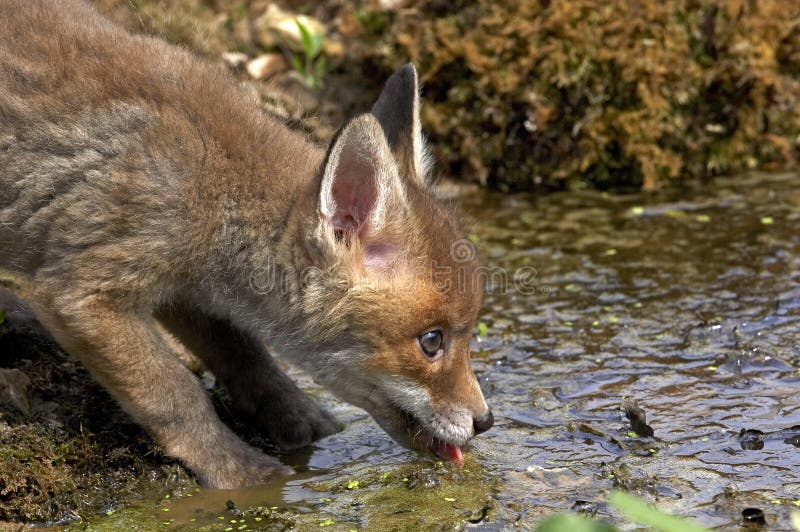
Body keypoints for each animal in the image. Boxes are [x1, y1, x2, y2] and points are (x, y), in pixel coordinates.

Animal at [0, 0, 493, 489]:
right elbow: (174, 393)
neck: (214, 187)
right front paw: (236, 469)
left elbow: (248, 359)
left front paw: (302, 421)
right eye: (431, 341)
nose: (486, 421)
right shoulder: (84, 293)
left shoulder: (188, 291)